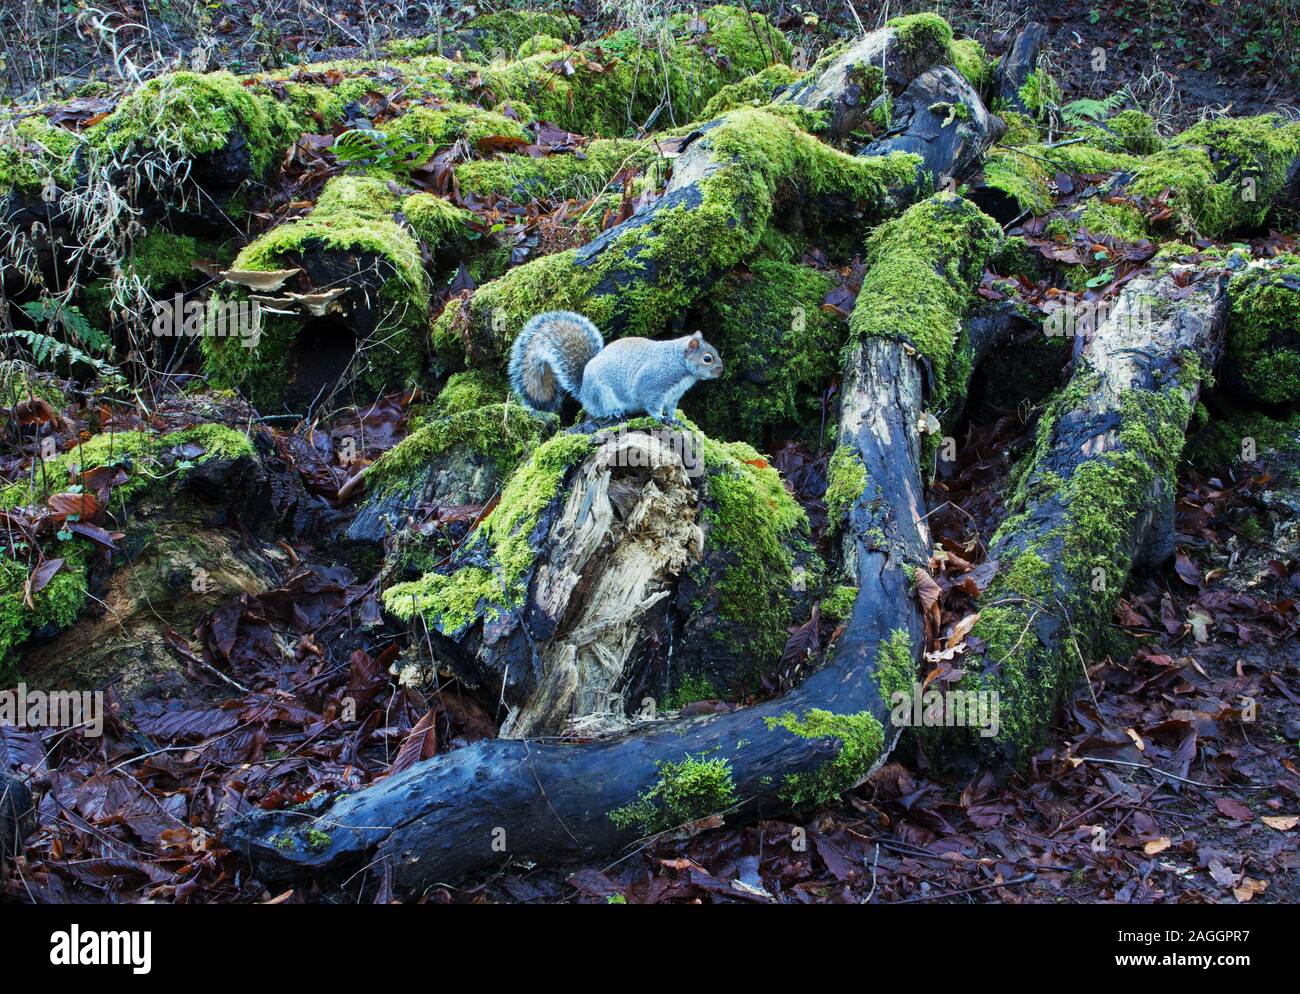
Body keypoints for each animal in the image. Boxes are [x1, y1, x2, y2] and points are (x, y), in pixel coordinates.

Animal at [508, 311, 723, 419]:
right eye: (707, 358)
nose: (721, 370)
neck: (679, 363)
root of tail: (583, 392)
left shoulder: (673, 396)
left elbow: (671, 408)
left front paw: (674, 419)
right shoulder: (653, 384)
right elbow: (651, 403)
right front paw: (660, 418)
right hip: (602, 395)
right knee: (600, 411)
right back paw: (615, 413)